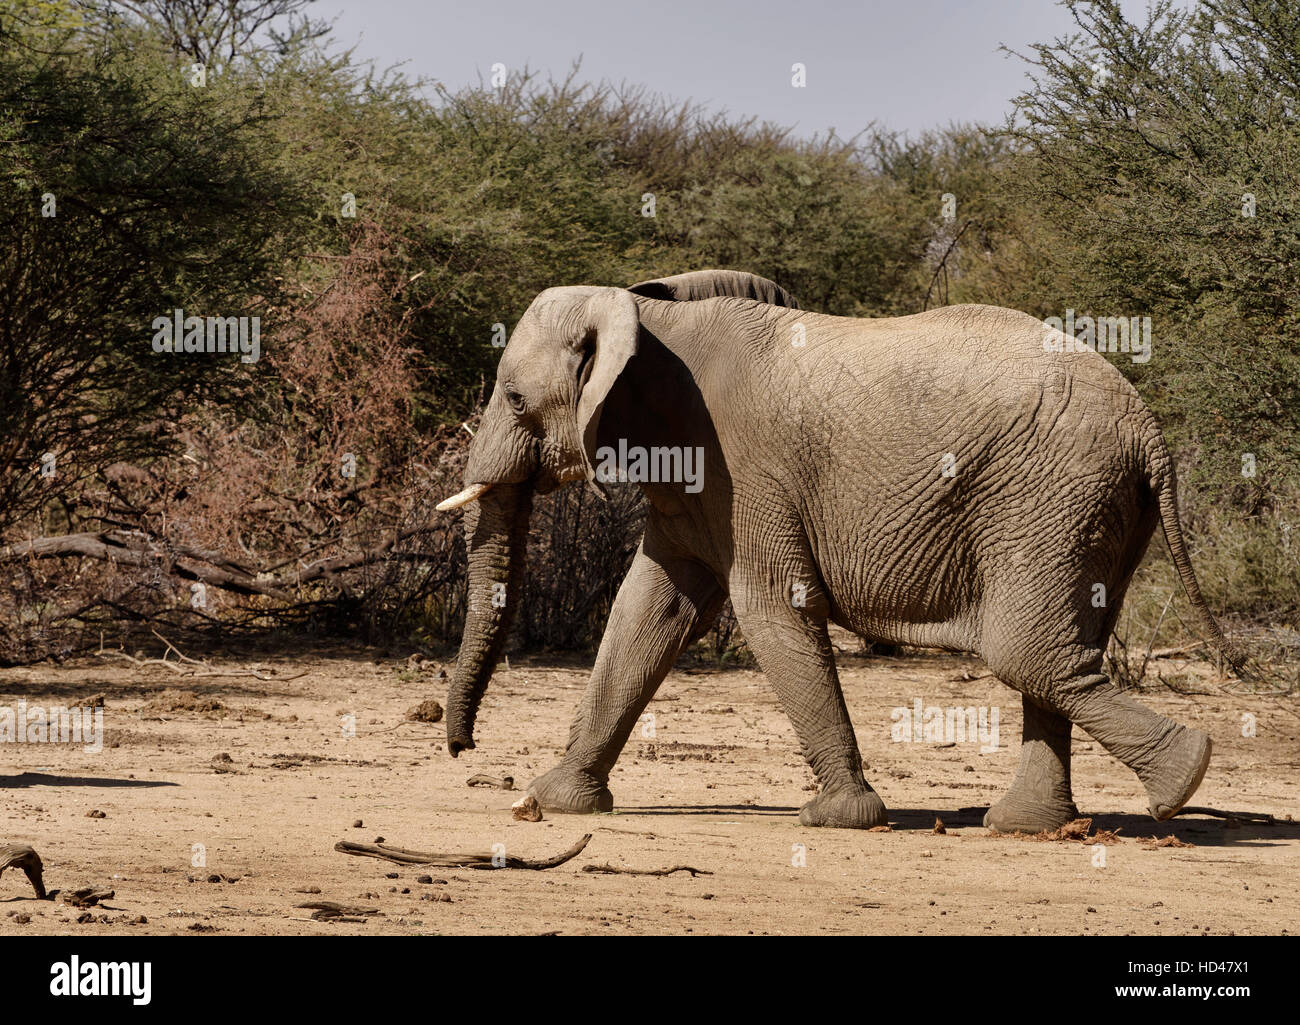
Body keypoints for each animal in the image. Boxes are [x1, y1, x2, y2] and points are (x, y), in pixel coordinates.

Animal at [436, 268, 1246, 832]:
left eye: (514, 399)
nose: (463, 752)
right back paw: (1029, 825)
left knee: (1030, 653)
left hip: (1050, 496)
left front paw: (838, 819)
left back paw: (1183, 781)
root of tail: (1147, 428)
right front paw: (554, 802)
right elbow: (649, 614)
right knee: (1060, 655)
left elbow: (771, 611)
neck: (650, 315)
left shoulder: (744, 469)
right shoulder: (694, 484)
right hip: (1093, 511)